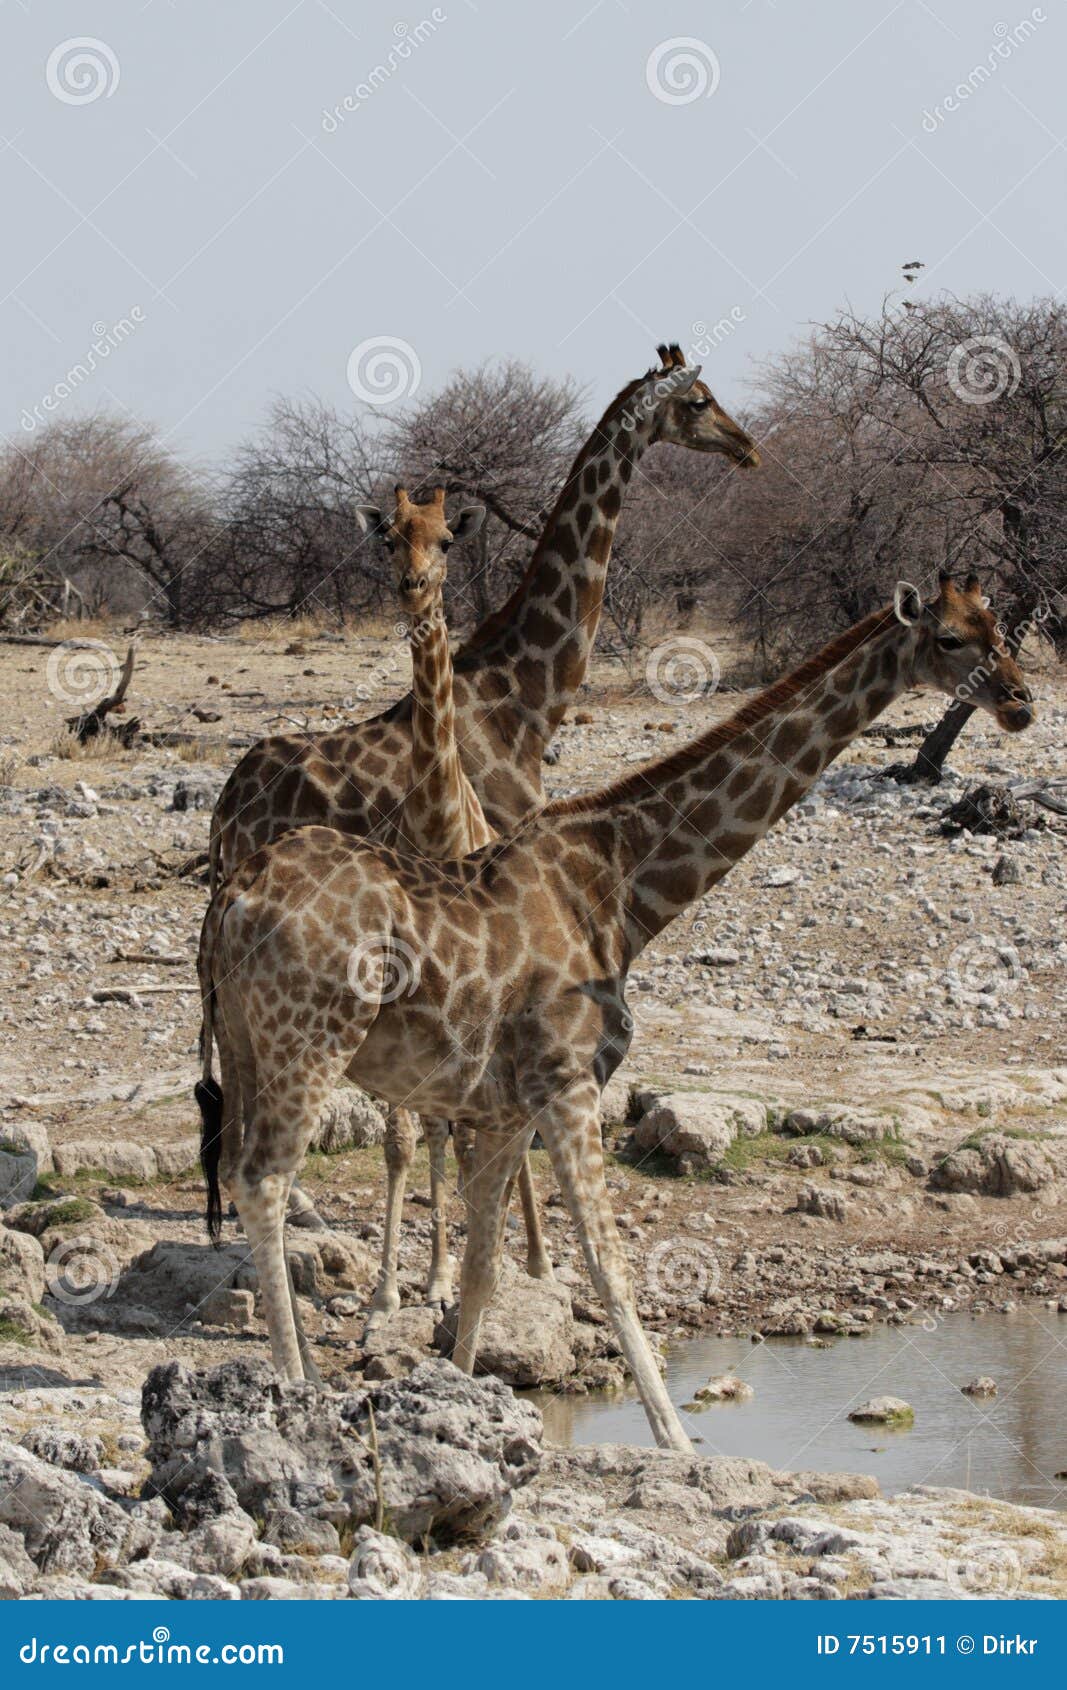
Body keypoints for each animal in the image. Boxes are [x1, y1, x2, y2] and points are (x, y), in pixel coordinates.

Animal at [197, 572, 1033, 1448]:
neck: (624, 895)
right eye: (949, 639)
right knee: (264, 1181)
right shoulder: (568, 1085)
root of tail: (233, 896)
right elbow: (608, 1267)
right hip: (310, 1042)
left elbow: (486, 1266)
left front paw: (461, 1399)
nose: (1021, 702)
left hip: (247, 1044)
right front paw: (674, 1443)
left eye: (1000, 627)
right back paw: (297, 1388)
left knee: (242, 1171)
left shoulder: (507, 1105)